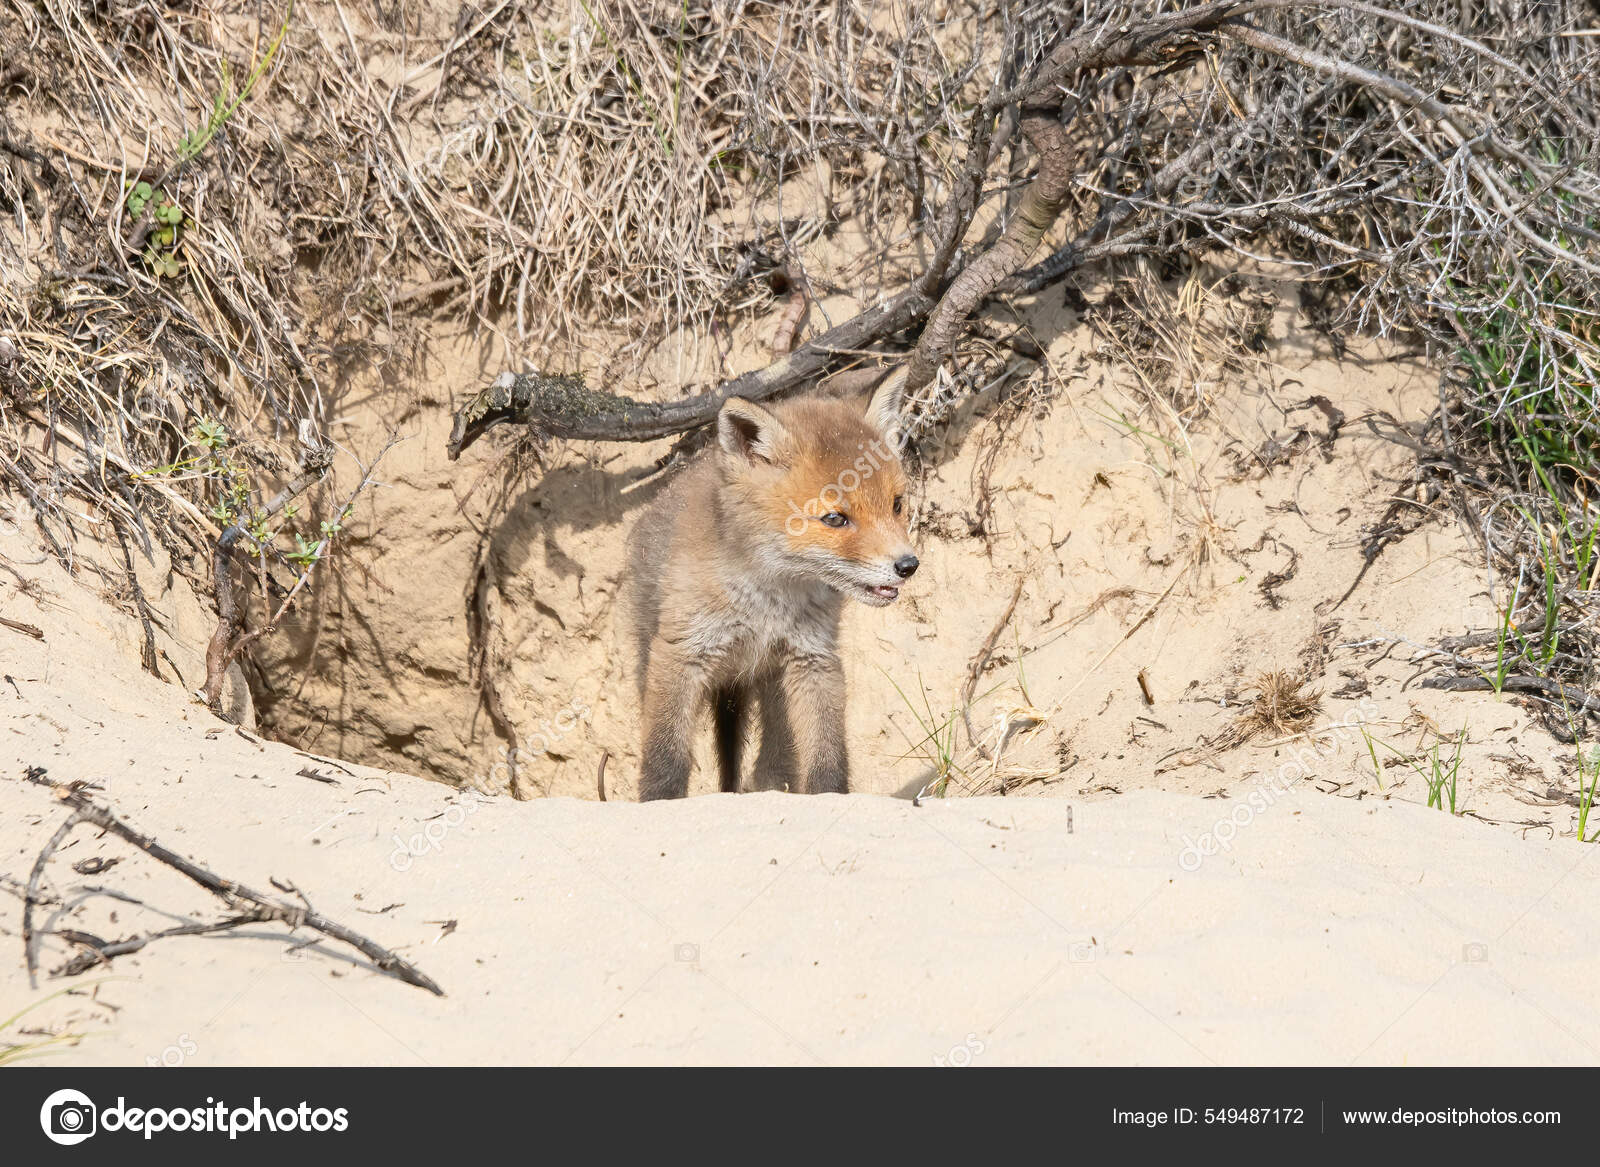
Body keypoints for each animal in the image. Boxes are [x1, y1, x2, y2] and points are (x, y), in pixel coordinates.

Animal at [623, 369, 919, 800]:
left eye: (896, 504)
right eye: (835, 518)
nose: (908, 565)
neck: (766, 601)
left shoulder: (813, 658)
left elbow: (827, 754)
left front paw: (828, 796)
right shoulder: (682, 652)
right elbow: (665, 755)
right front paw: (659, 801)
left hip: (772, 685)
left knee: (774, 759)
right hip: (656, 656)